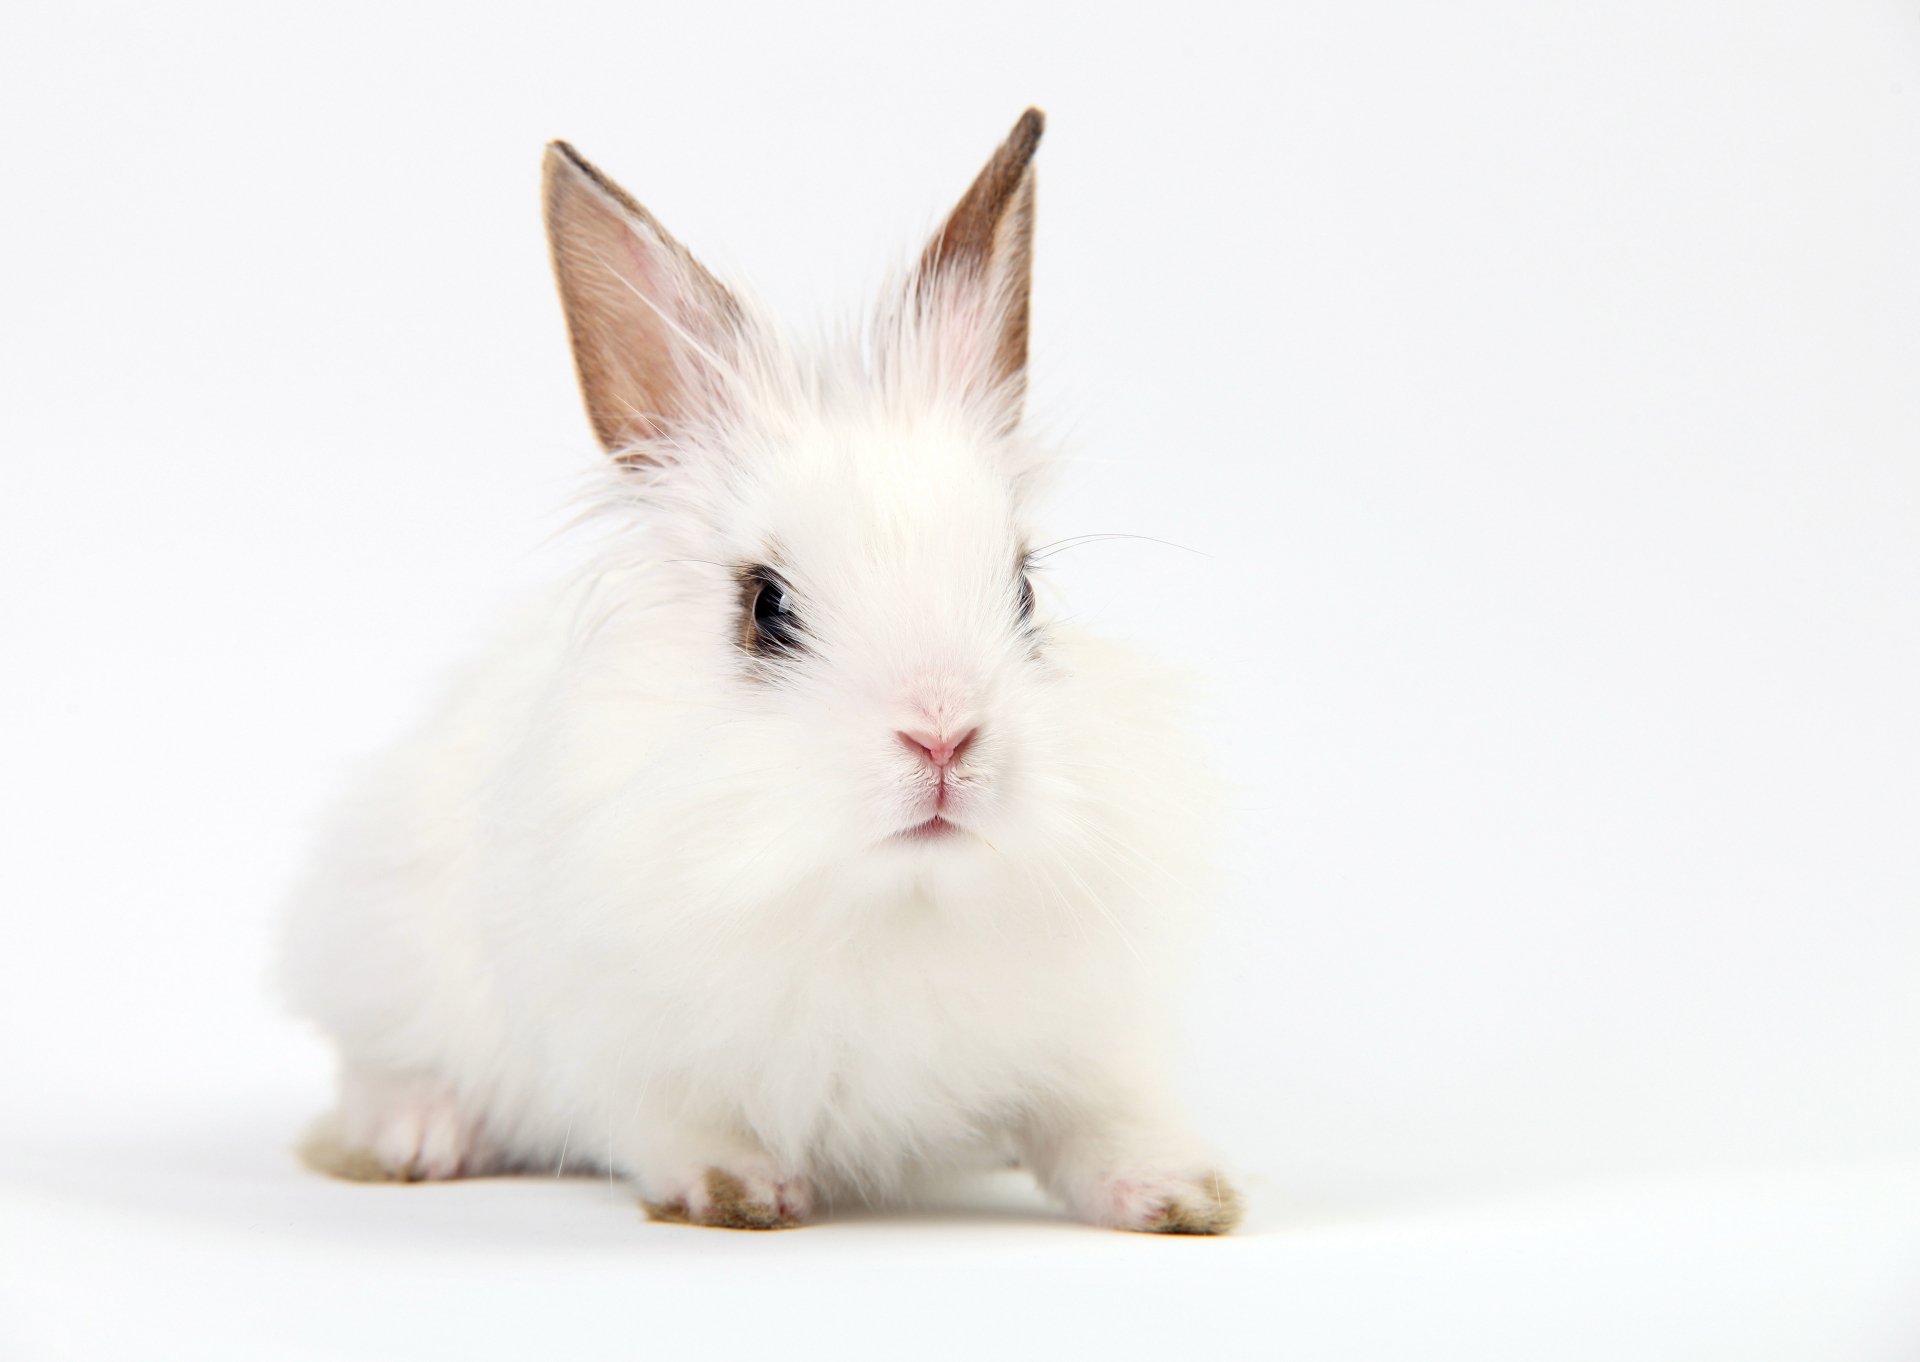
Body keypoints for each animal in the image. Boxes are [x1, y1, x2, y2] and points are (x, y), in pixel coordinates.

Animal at [278, 108, 1243, 1234]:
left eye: (1024, 594)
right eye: (766, 608)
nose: (944, 735)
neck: (890, 903)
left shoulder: (1081, 1044)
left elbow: (1097, 1122)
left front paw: (1183, 1193)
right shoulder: (614, 1043)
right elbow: (664, 1121)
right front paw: (738, 1188)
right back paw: (416, 1137)